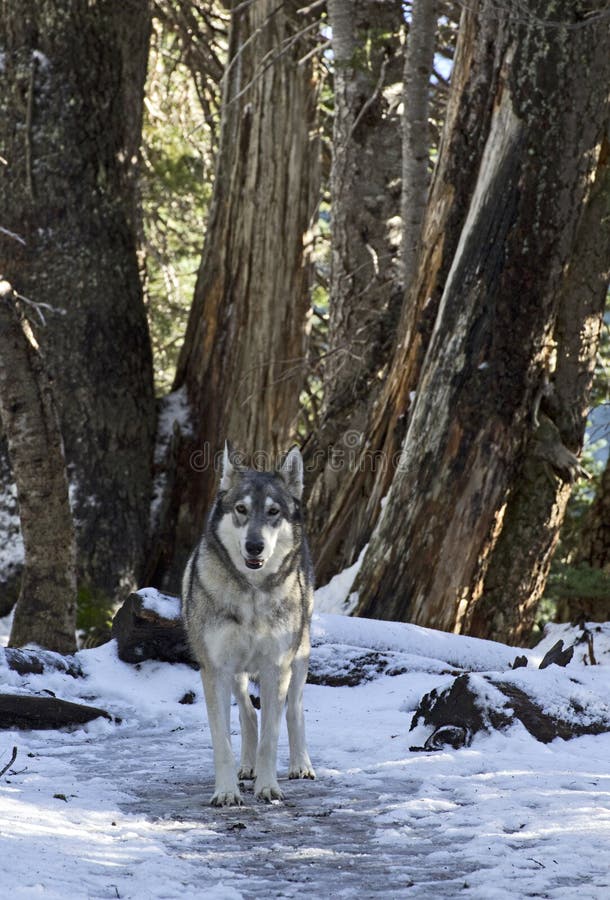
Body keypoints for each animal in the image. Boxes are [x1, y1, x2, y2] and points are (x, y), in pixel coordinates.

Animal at [182, 443, 316, 806]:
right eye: (241, 509)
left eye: (273, 512)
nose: (254, 546)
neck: (253, 592)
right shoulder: (215, 670)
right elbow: (223, 742)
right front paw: (227, 792)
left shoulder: (275, 669)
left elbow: (271, 738)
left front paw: (268, 788)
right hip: (236, 675)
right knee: (247, 714)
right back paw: (247, 767)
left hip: (299, 658)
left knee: (294, 711)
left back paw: (300, 765)